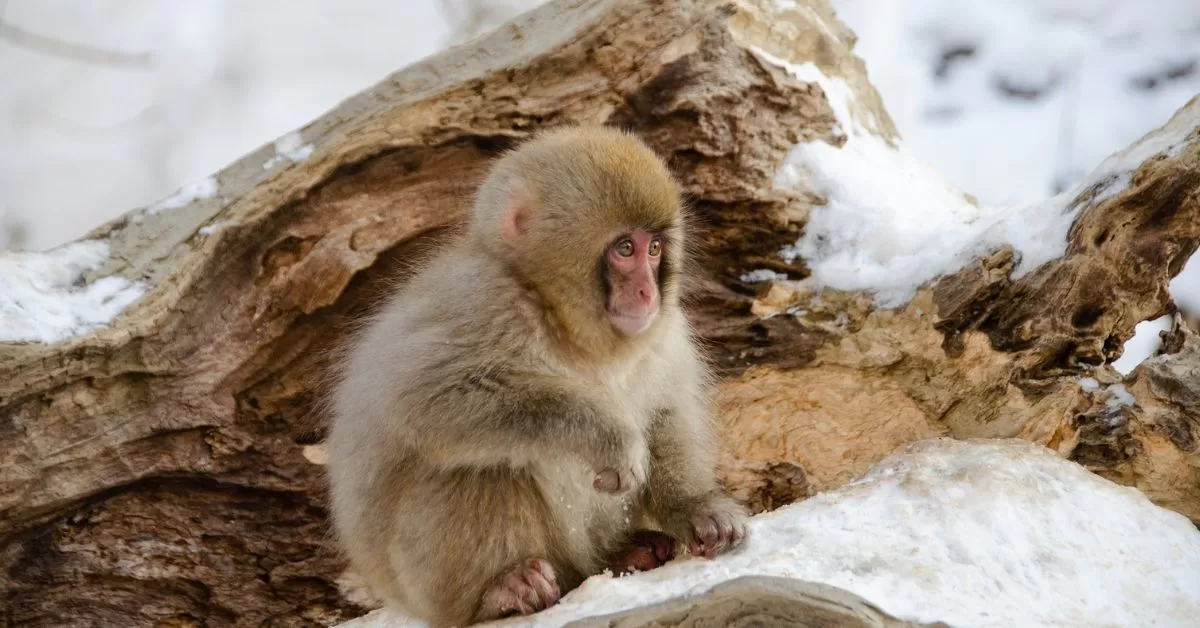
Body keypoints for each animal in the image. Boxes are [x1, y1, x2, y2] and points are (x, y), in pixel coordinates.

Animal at [326, 126, 748, 627]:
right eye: (625, 249)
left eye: (655, 249)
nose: (648, 292)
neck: (565, 324)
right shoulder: (482, 302)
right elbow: (423, 399)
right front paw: (606, 437)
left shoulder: (666, 335)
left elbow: (664, 413)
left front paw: (696, 508)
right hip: (425, 586)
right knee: (478, 467)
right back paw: (502, 590)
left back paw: (624, 553)